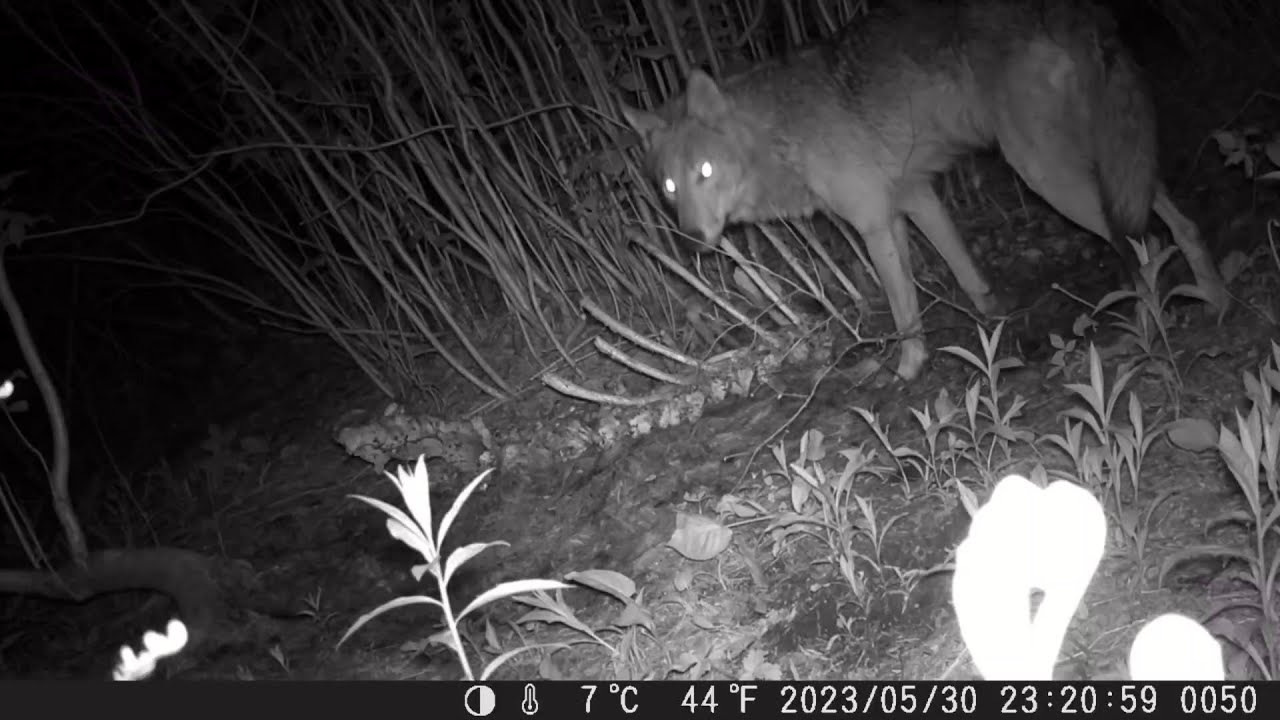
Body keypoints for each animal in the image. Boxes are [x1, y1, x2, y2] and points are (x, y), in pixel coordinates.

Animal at [622, 0, 1230, 382]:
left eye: (705, 171)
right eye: (670, 185)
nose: (693, 239)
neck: (780, 133)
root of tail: (1076, 12)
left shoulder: (874, 222)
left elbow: (903, 309)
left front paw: (909, 368)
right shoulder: (914, 197)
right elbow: (966, 272)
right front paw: (993, 322)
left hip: (1048, 175)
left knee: (1147, 246)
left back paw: (1145, 330)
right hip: (1108, 168)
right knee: (1180, 223)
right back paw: (1213, 296)